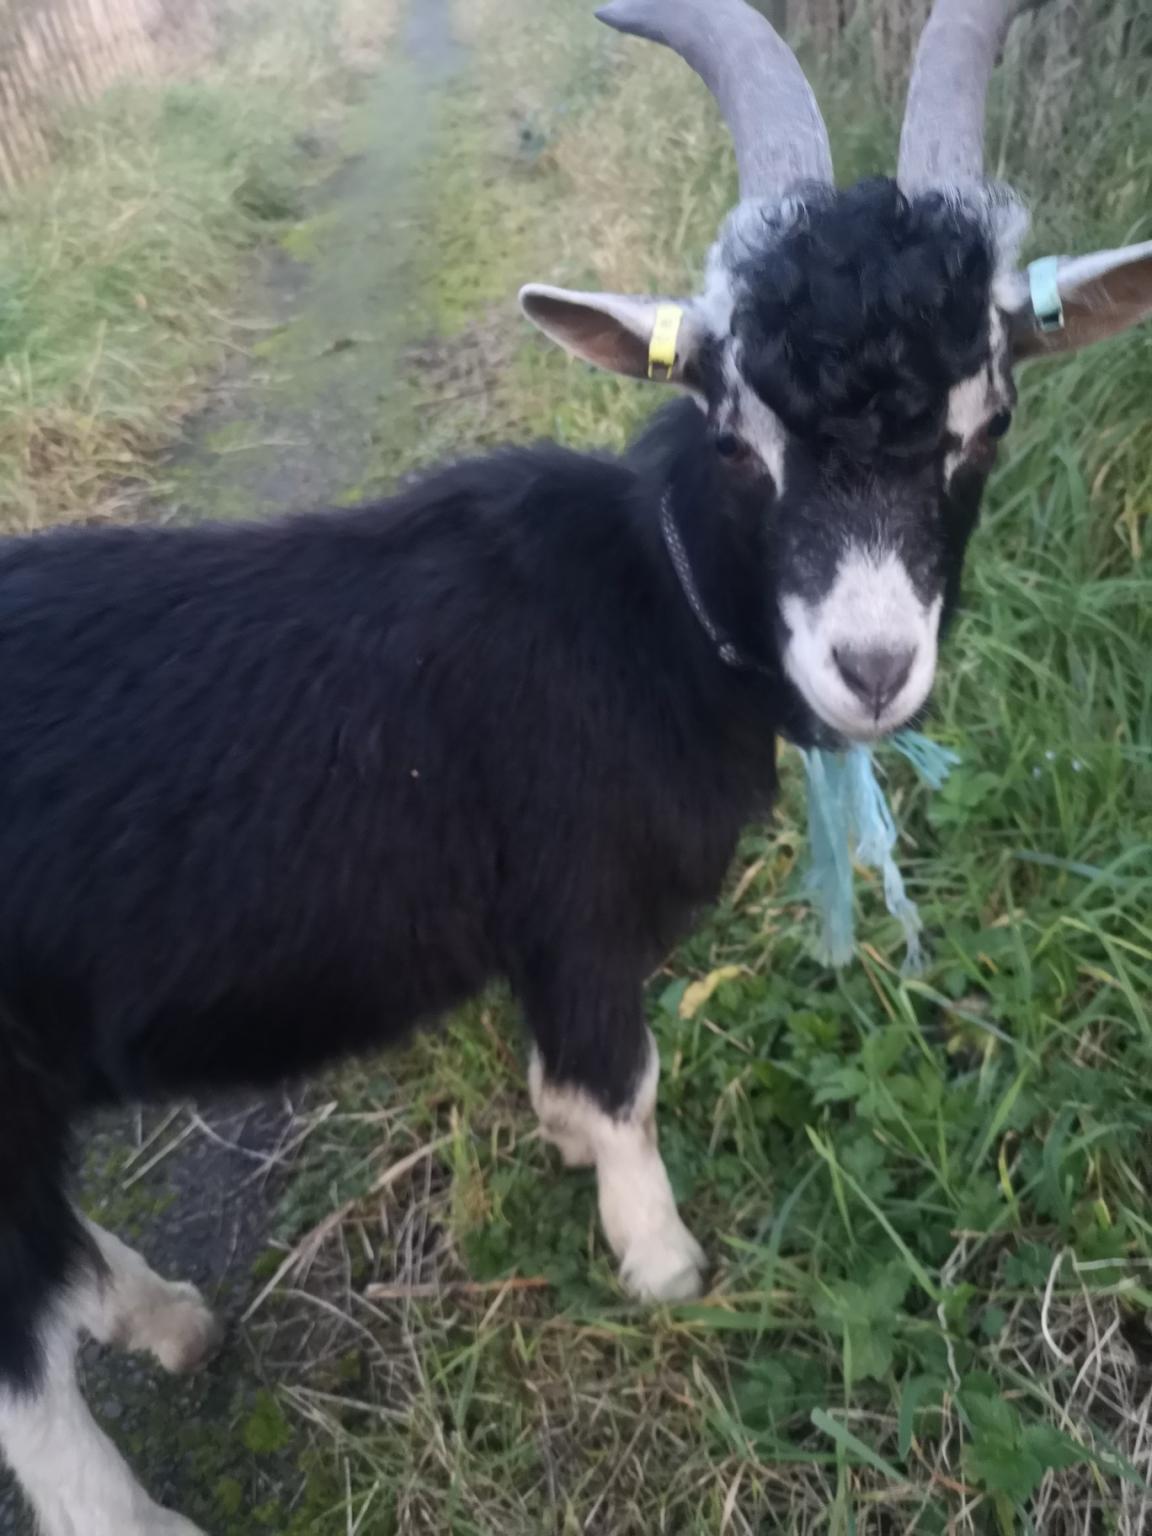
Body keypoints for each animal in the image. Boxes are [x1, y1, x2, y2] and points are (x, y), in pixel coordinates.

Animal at [2, 2, 1151, 1532]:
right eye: (735, 433)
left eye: (989, 423)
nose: (871, 665)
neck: (649, 608)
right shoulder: (577, 912)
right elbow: (627, 1081)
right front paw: (661, 1263)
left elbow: (569, 1079)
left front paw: (558, 1145)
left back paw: (167, 1316)